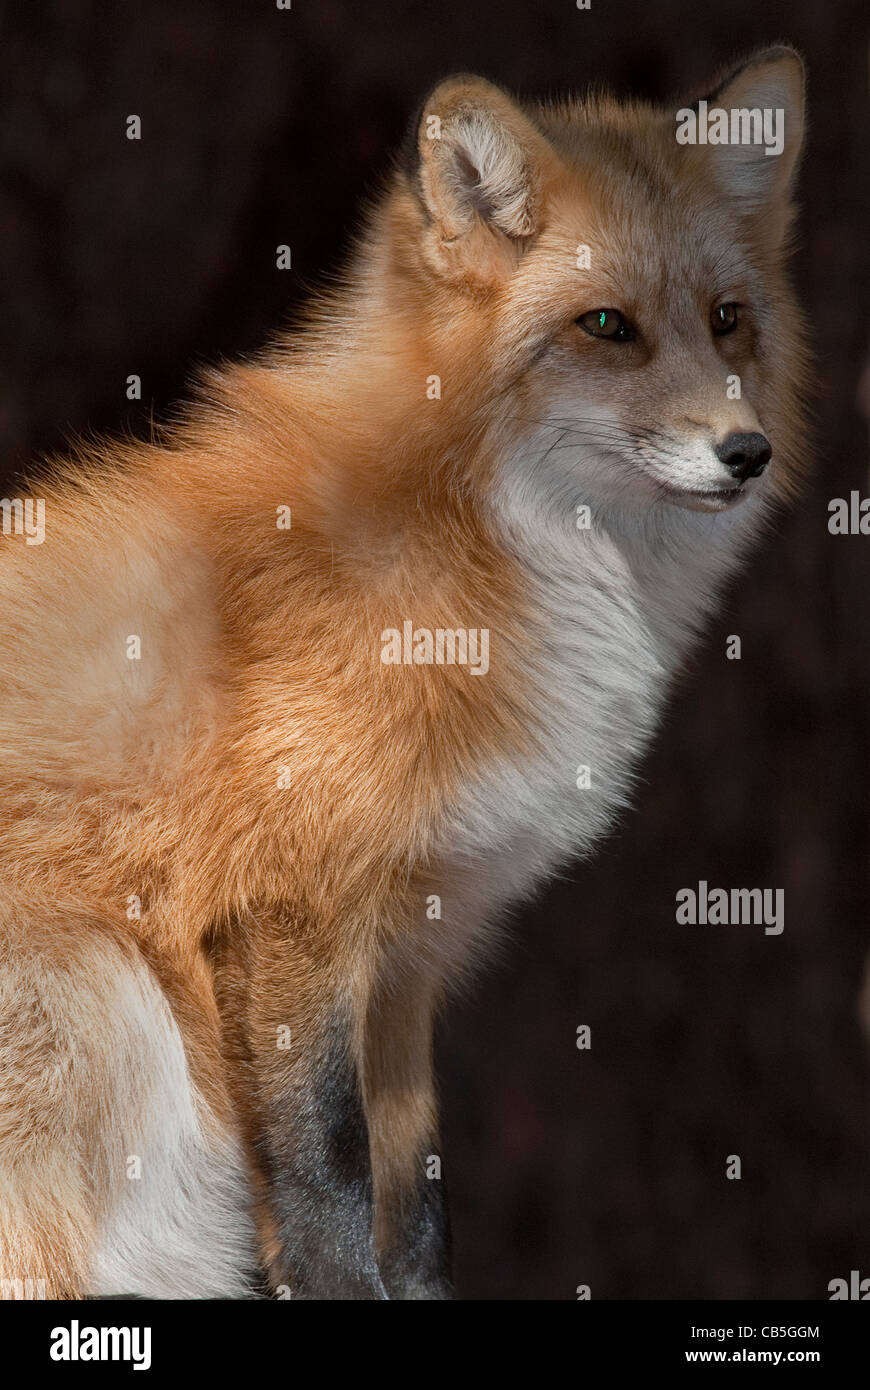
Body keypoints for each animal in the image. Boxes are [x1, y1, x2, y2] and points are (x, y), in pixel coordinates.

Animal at [0, 46, 807, 1300]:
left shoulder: (412, 948)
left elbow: (412, 1192)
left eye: (729, 322)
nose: (746, 453)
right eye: (608, 326)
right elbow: (329, 1176)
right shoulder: (290, 901)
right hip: (106, 1000)